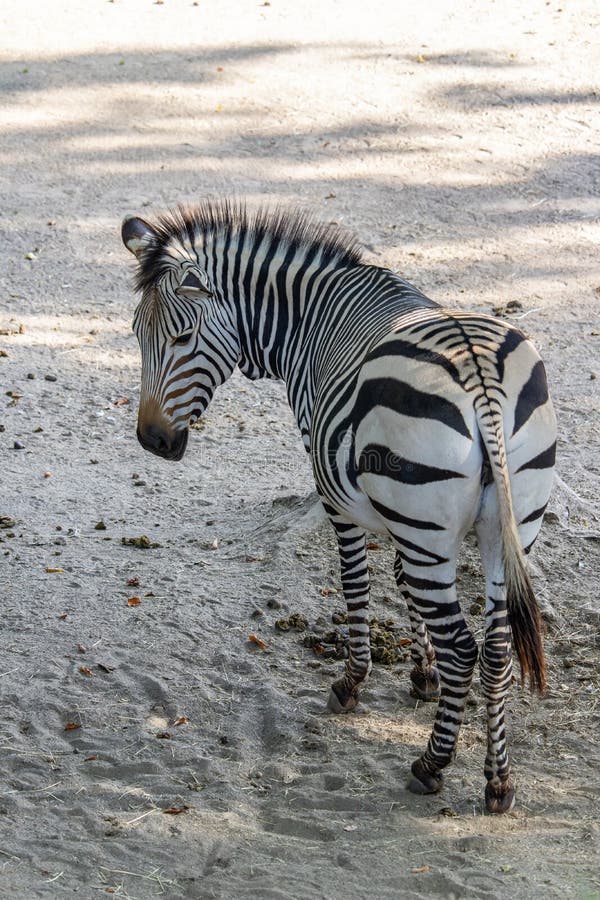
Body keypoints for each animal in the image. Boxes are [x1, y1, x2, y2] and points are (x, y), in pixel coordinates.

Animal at [121, 201, 556, 814]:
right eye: (139, 335)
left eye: (182, 338)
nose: (152, 441)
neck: (309, 318)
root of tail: (480, 379)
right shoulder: (401, 516)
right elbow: (401, 584)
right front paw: (422, 676)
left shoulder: (340, 495)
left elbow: (356, 582)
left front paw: (353, 681)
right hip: (505, 529)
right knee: (495, 649)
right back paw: (499, 781)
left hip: (429, 525)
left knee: (465, 648)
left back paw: (432, 764)